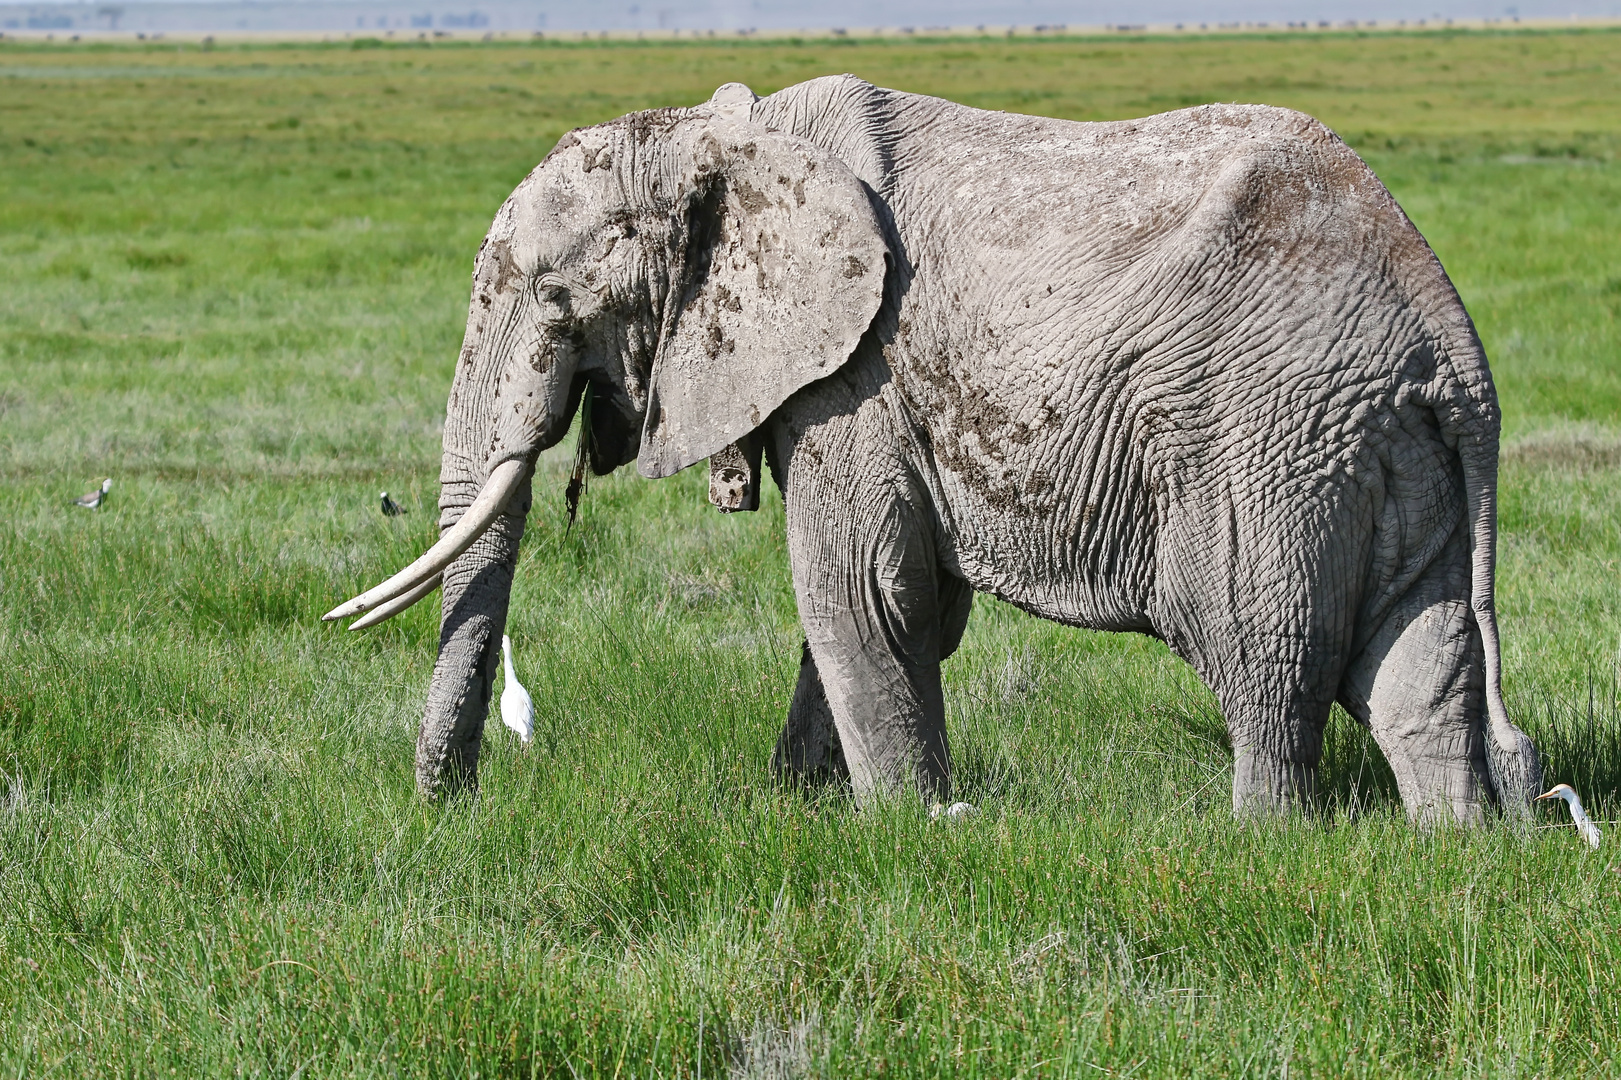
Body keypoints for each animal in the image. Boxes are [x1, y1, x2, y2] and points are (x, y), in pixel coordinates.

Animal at [319, 73, 1543, 817]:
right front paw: (795, 804)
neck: (721, 133)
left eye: (552, 297)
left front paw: (902, 824)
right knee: (1418, 674)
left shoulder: (857, 371)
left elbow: (862, 590)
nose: (452, 806)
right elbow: (879, 605)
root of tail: (1450, 336)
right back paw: (1454, 846)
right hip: (1376, 442)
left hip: (1271, 443)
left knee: (1263, 663)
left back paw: (1257, 843)